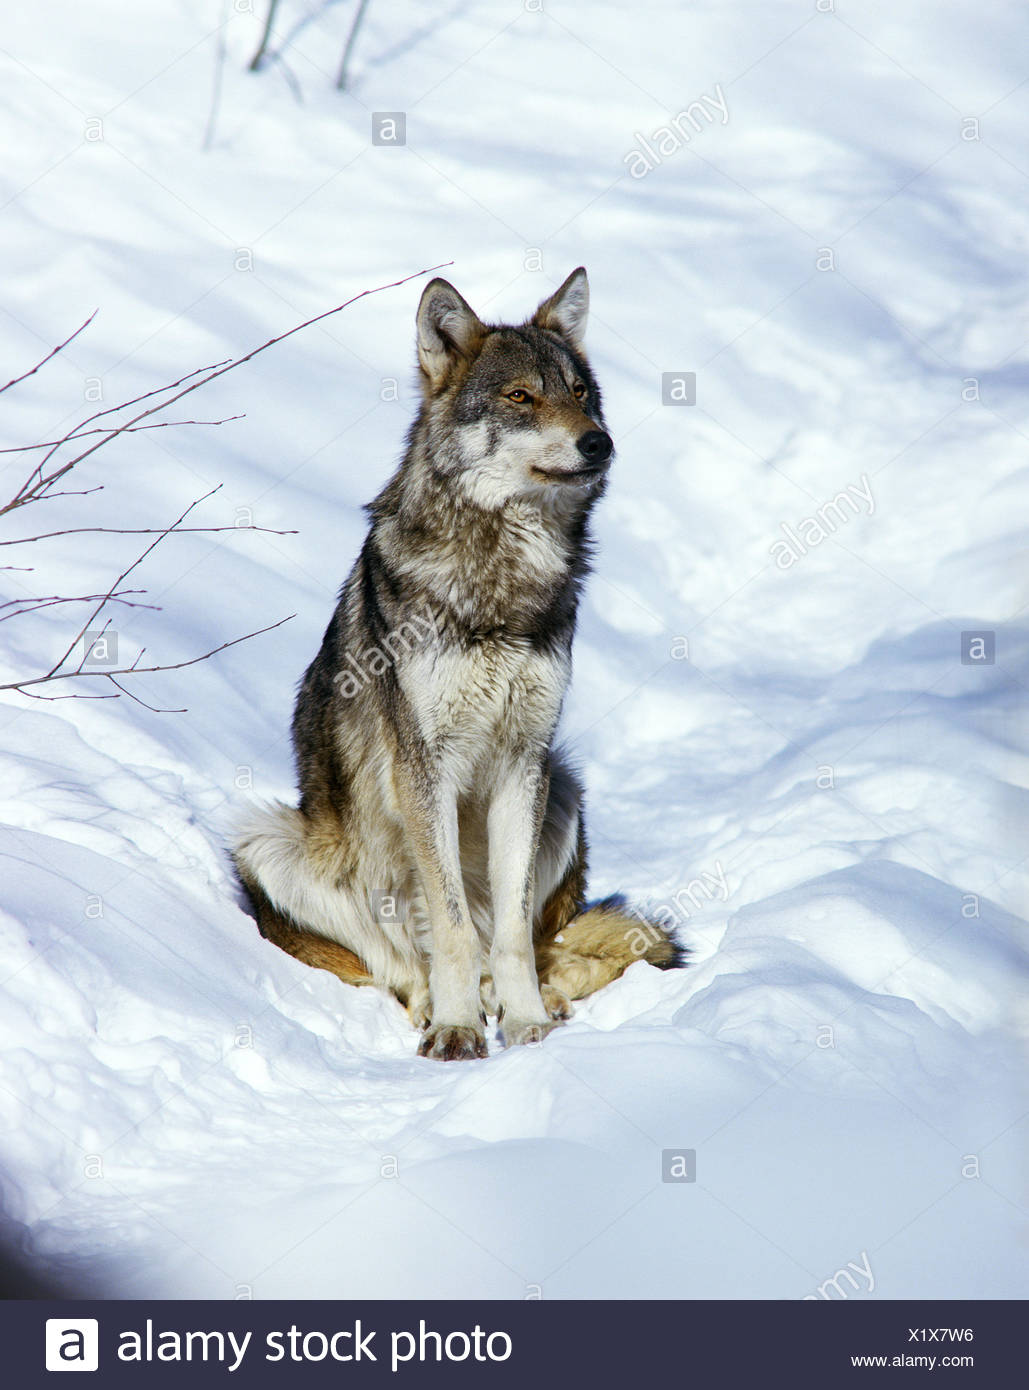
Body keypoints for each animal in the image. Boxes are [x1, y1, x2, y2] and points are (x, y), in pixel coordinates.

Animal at [232, 268, 684, 1060]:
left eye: (580, 392)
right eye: (521, 396)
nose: (599, 443)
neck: (500, 580)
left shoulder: (524, 759)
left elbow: (509, 930)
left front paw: (526, 1021)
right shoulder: (425, 767)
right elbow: (446, 926)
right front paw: (455, 1028)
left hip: (565, 787)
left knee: (543, 944)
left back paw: (529, 1000)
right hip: (268, 843)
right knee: (395, 965)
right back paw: (440, 1006)